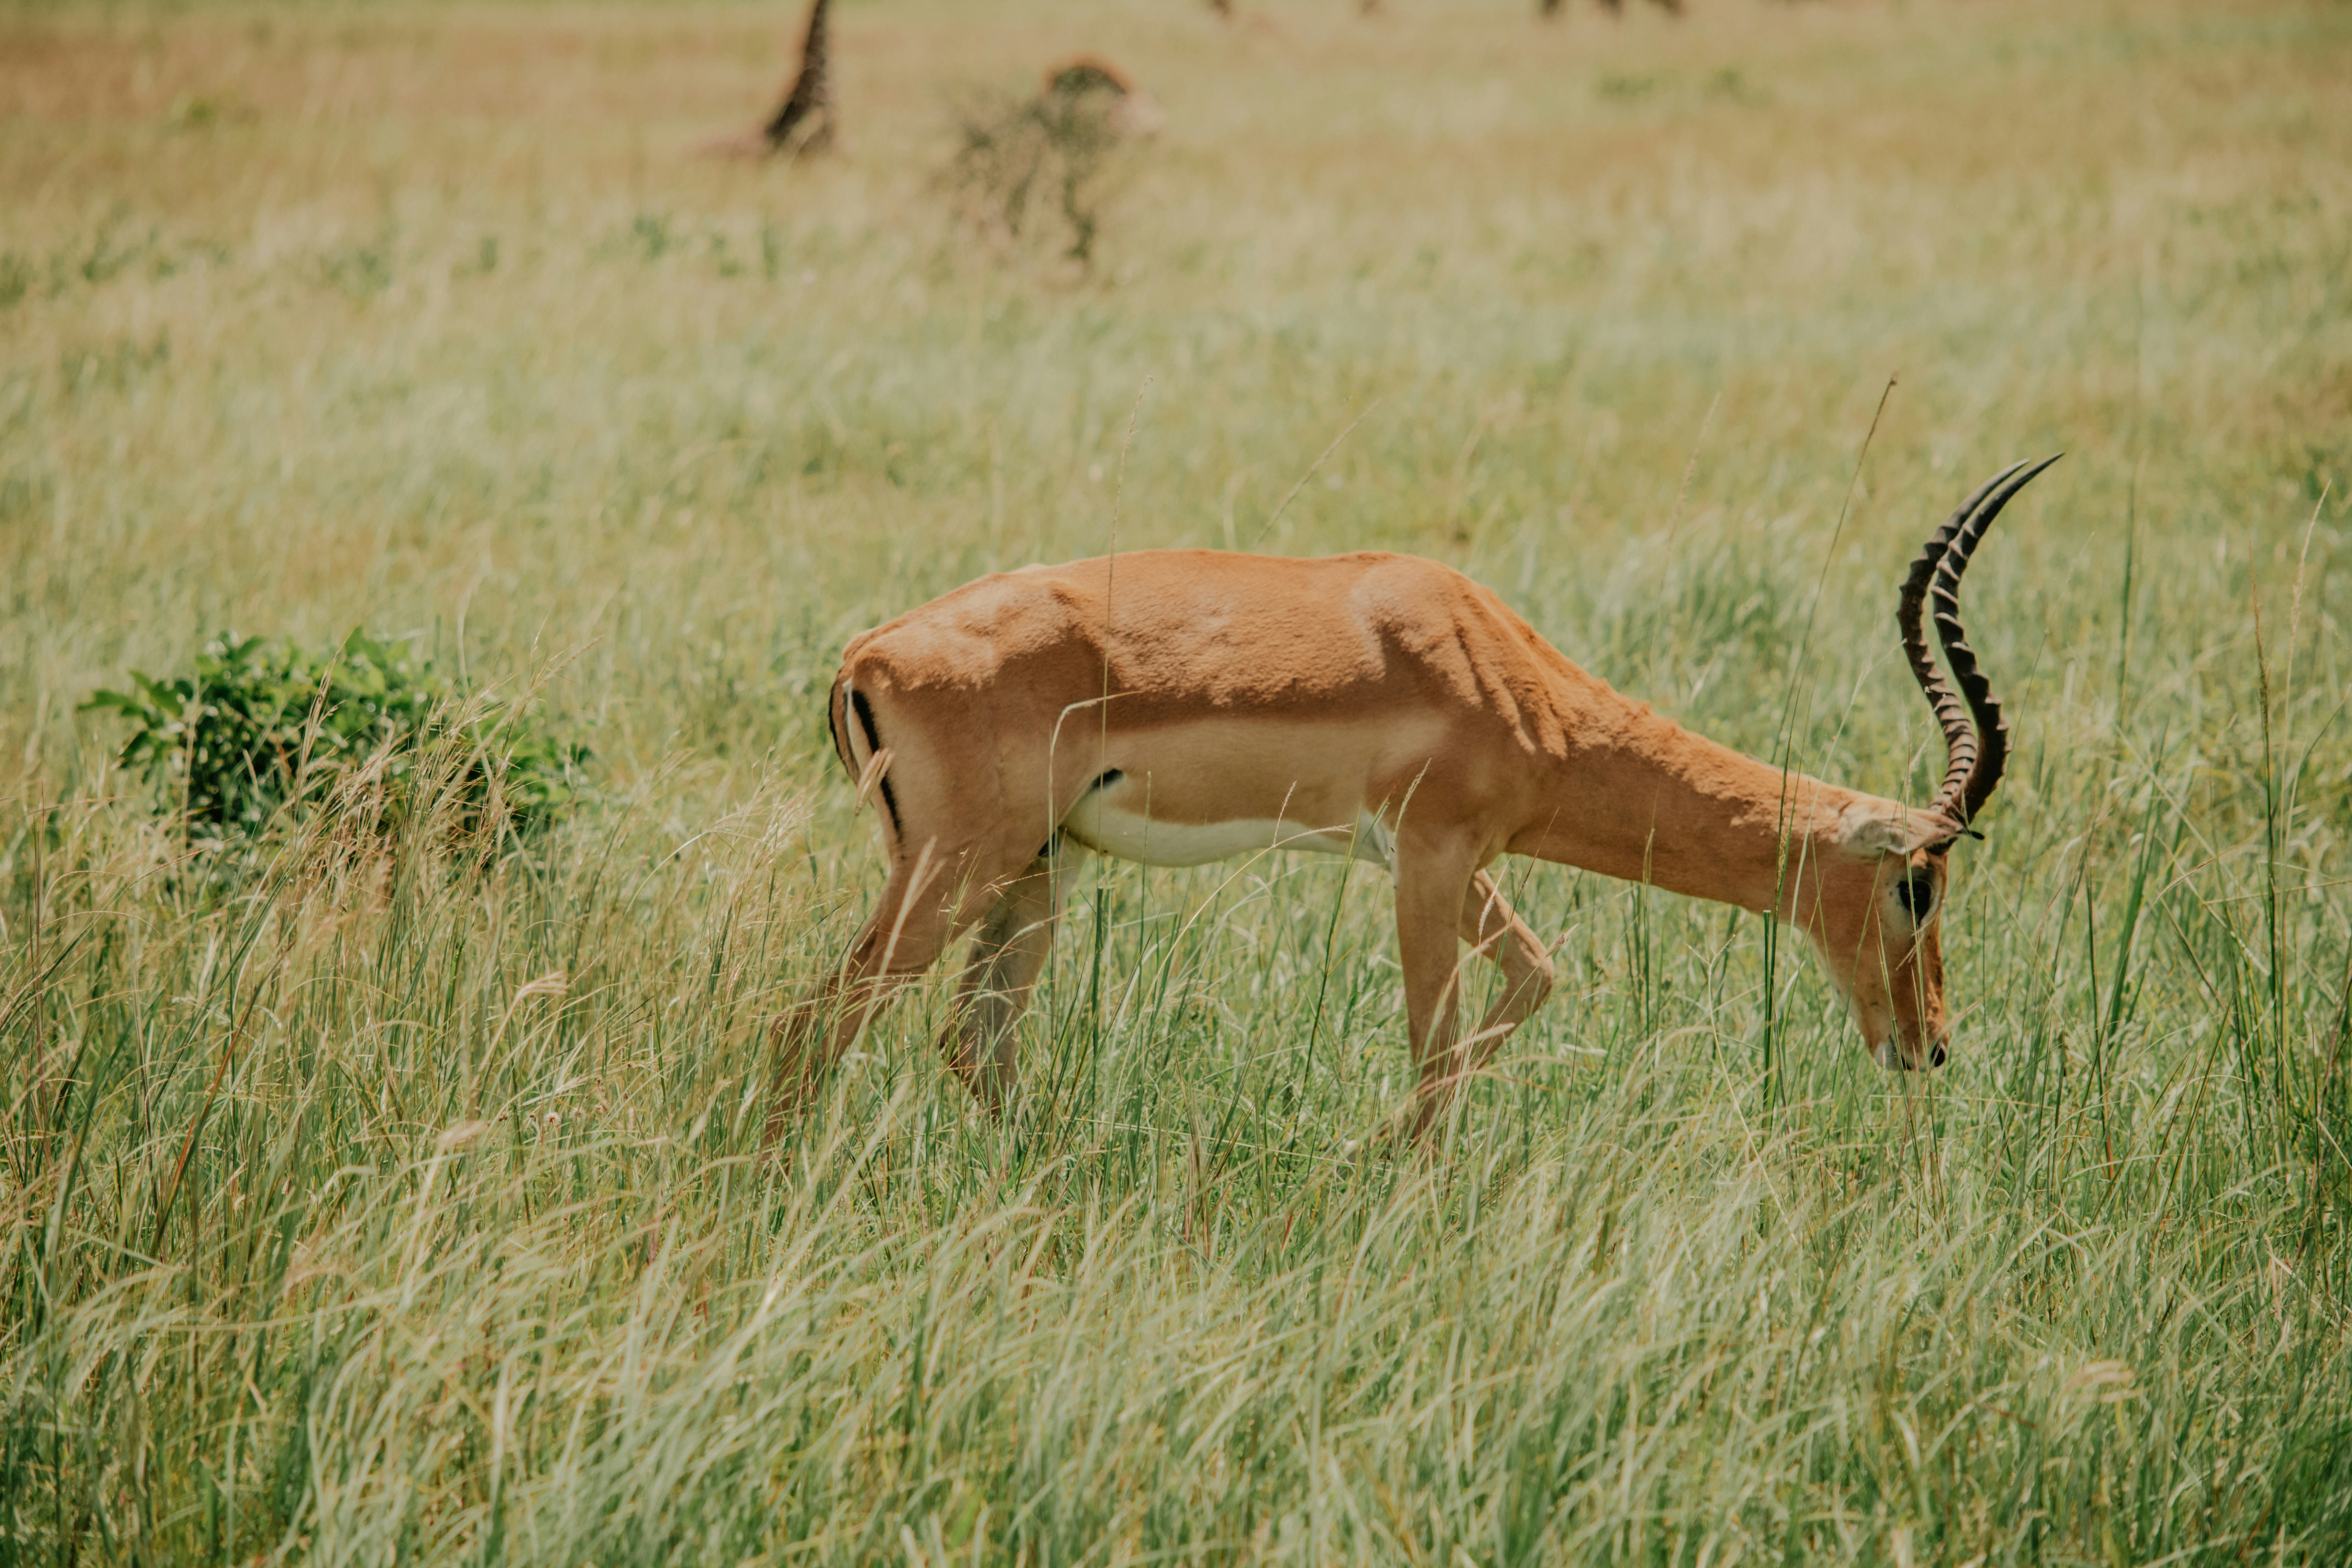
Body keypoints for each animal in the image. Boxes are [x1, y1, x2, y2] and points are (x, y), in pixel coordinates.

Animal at [772, 457, 2055, 1142]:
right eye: (1918, 884)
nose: (1930, 1044)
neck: (1499, 669)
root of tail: (865, 654)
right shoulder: (1428, 859)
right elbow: (1435, 1050)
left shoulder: (1452, 860)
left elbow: (1534, 980)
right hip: (954, 870)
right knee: (811, 1025)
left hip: (1043, 869)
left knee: (971, 1044)